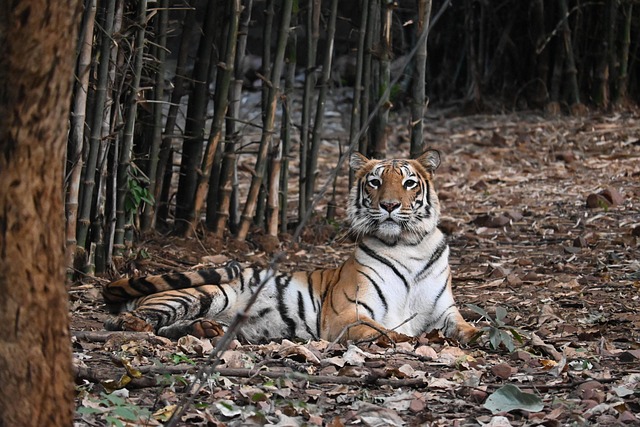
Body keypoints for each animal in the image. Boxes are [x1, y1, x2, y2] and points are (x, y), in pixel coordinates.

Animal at [103, 150, 478, 345]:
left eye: (409, 183)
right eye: (374, 182)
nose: (388, 205)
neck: (408, 245)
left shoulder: (444, 311)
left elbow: (465, 327)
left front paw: (478, 336)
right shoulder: (348, 314)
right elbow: (387, 330)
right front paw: (410, 339)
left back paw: (206, 329)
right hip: (208, 291)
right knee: (130, 321)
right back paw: (139, 325)